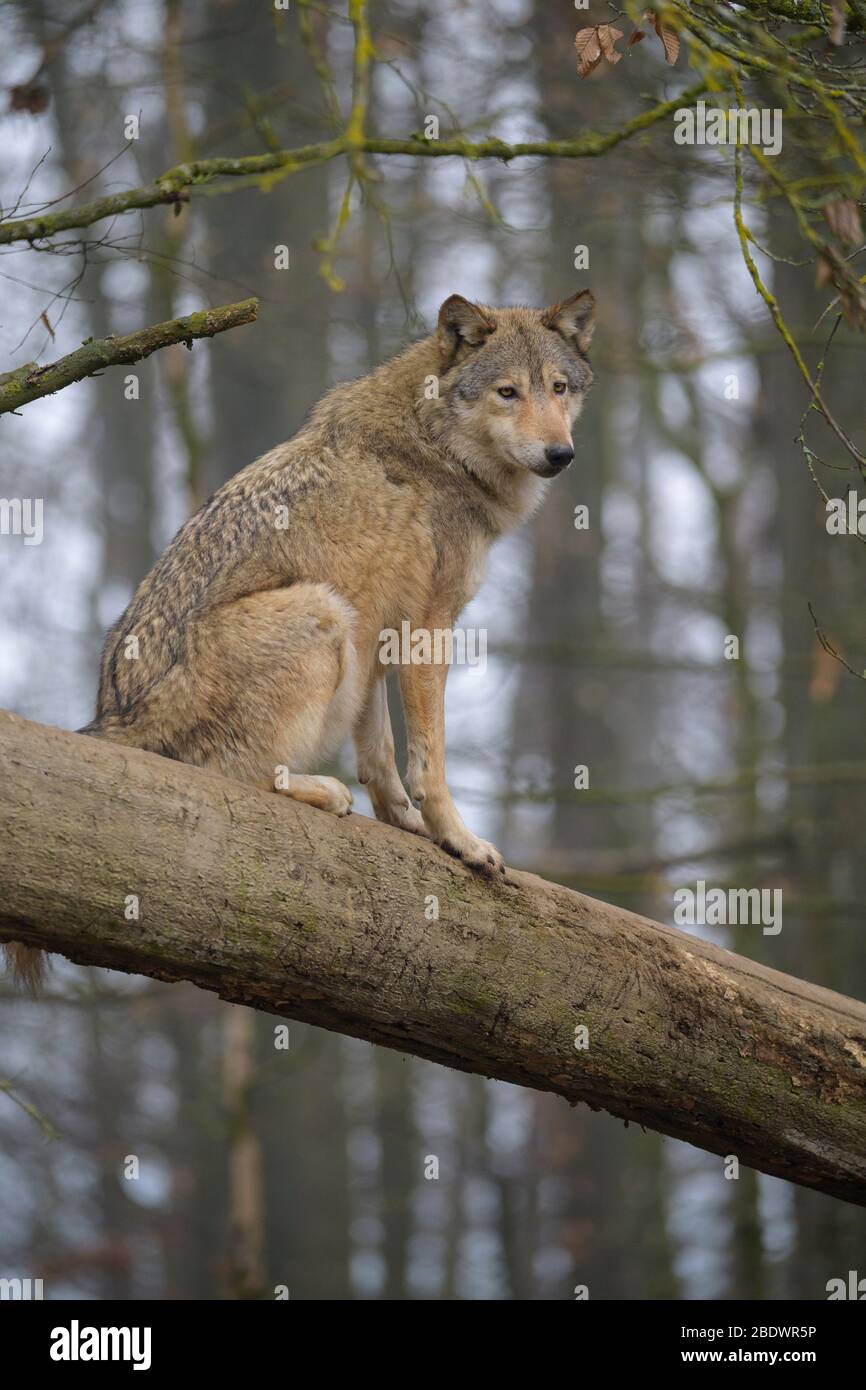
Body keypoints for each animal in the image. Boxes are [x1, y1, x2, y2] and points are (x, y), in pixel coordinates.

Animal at [5, 290, 595, 989]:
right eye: (508, 392)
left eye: (558, 388)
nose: (561, 455)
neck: (438, 445)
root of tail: (111, 718)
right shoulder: (425, 625)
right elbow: (429, 757)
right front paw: (459, 841)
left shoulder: (378, 630)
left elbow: (379, 752)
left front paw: (402, 821)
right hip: (323, 612)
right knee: (229, 774)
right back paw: (322, 793)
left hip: (340, 625)